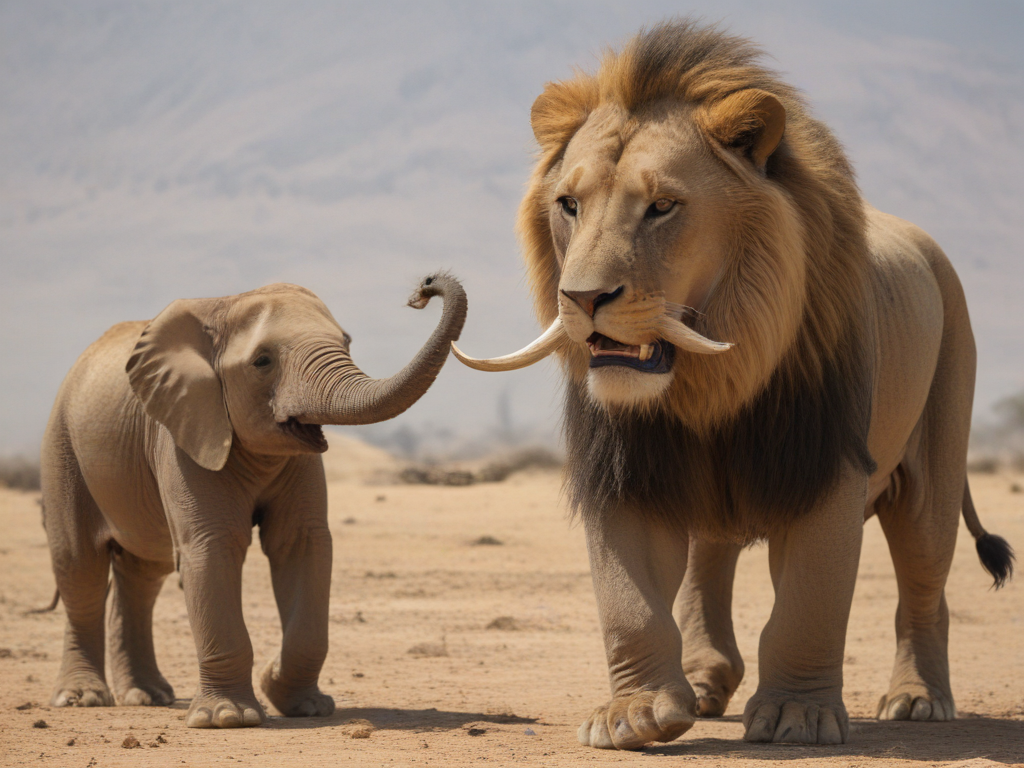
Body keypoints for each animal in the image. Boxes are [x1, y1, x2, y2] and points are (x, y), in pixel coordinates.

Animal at [38, 273, 466, 728]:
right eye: (262, 361)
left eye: (347, 342)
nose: (424, 289)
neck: (223, 305)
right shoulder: (184, 433)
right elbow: (214, 545)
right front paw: (227, 718)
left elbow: (301, 544)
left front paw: (301, 703)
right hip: (62, 446)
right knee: (80, 566)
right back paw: (81, 698)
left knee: (143, 572)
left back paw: (148, 696)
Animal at [451, 20, 1015, 749]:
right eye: (569, 204)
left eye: (662, 207)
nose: (580, 298)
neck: (707, 384)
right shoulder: (625, 473)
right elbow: (629, 603)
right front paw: (634, 714)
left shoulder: (823, 467)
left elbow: (808, 605)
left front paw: (799, 716)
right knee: (708, 562)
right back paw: (704, 683)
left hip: (933, 467)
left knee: (924, 582)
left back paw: (919, 698)